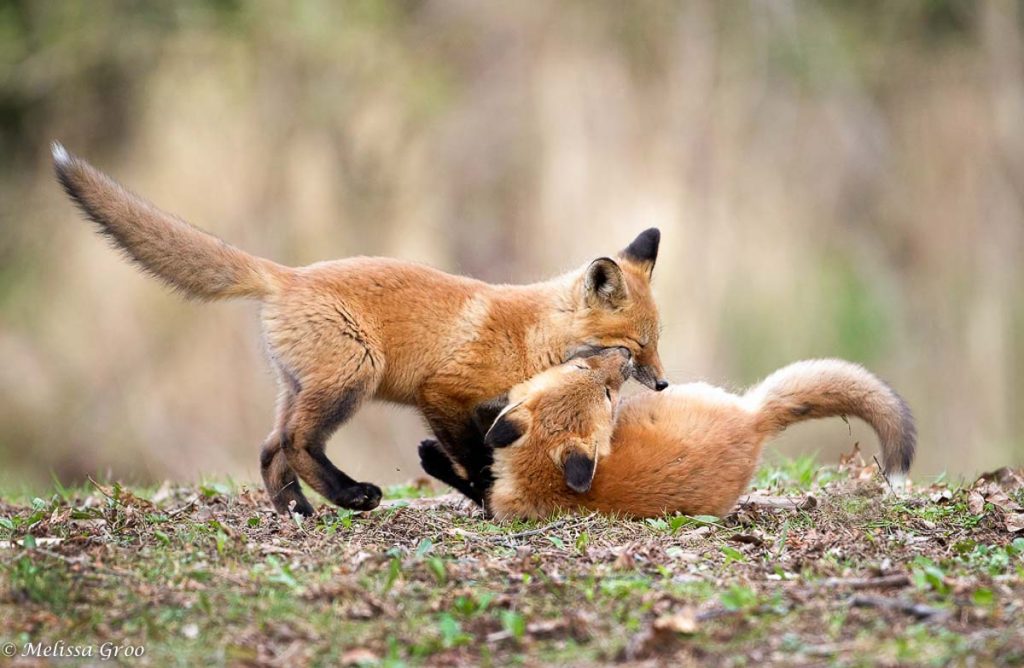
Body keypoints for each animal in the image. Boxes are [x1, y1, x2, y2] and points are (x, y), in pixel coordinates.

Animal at [51, 144, 669, 516]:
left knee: (270, 447)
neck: (532, 337)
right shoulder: (443, 393)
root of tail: (286, 274)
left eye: (656, 342)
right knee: (297, 442)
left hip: (303, 387)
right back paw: (350, 495)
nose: (663, 383)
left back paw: (297, 510)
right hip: (354, 377)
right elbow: (474, 456)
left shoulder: (496, 405)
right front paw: (482, 492)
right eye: (635, 346)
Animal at [419, 348, 916, 520]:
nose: (622, 356)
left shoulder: (498, 505)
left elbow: (472, 482)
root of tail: (752, 421)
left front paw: (434, 456)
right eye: (584, 373)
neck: (538, 470)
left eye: (608, 395)